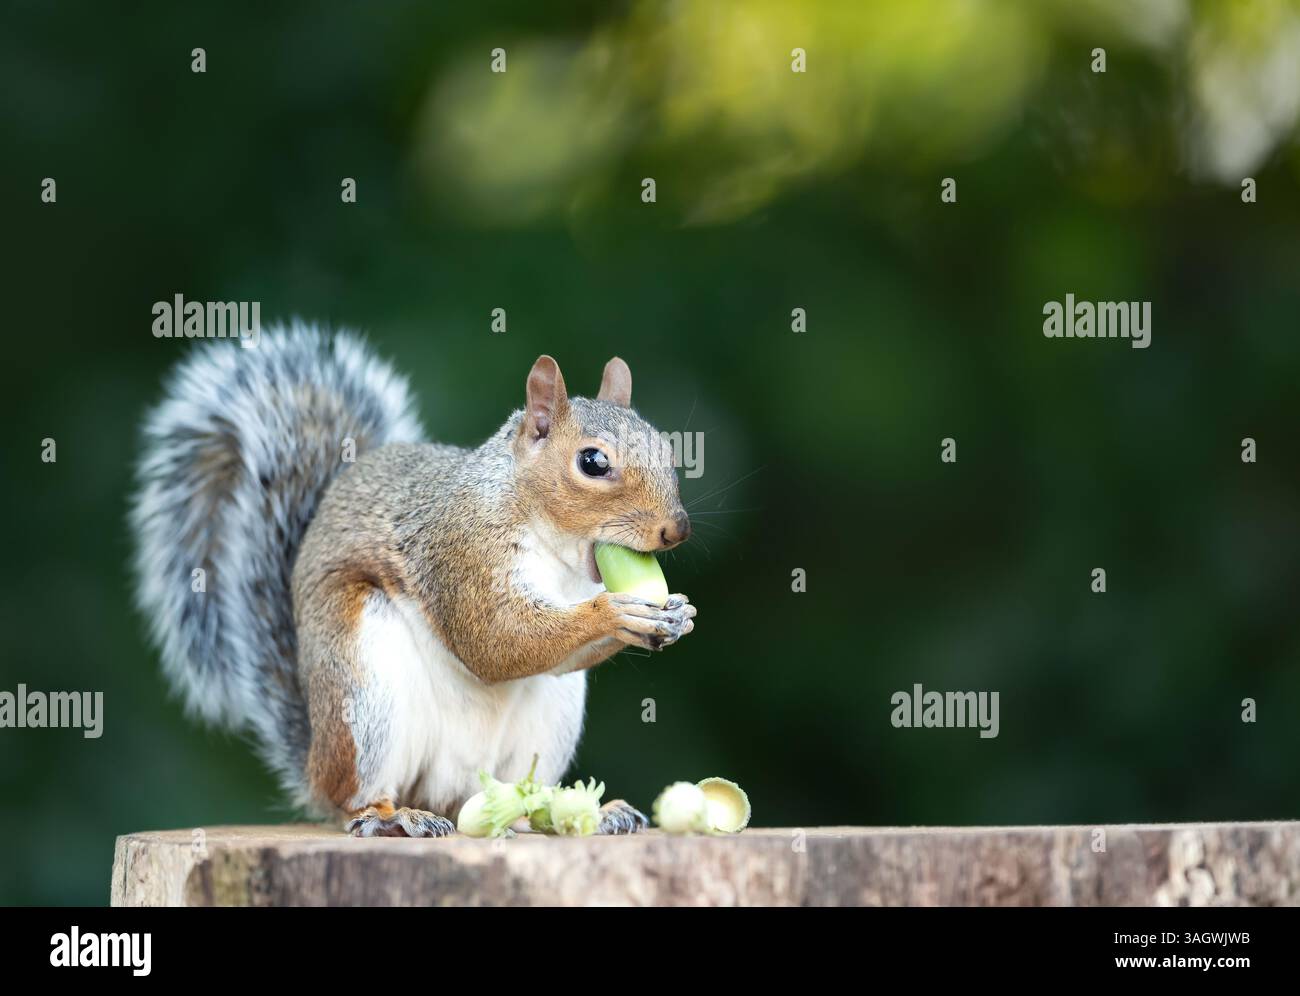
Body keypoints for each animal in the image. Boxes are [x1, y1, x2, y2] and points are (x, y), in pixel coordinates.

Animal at [130, 323, 696, 837]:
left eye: (667, 451)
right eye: (592, 461)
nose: (677, 529)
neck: (556, 550)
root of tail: (315, 763)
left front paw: (677, 615)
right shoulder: (459, 550)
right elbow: (496, 642)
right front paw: (616, 612)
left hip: (549, 722)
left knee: (516, 796)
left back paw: (580, 813)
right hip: (363, 691)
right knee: (353, 798)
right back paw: (391, 815)